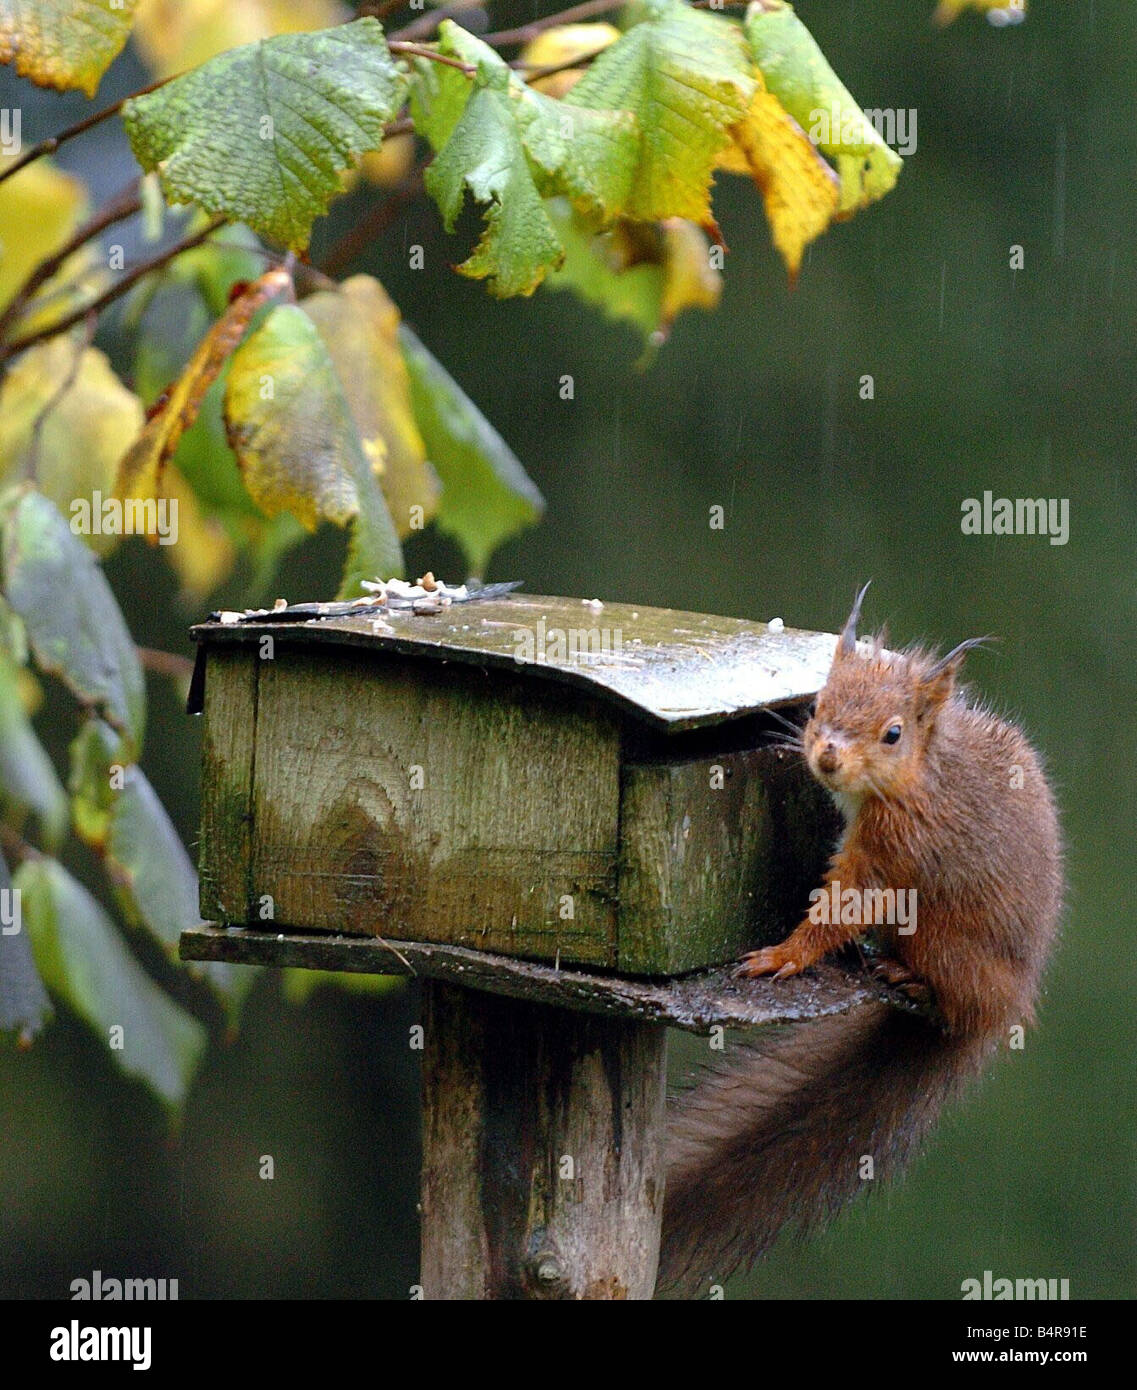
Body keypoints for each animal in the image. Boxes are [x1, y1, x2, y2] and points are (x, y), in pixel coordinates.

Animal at [658, 583, 1064, 1291]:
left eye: (893, 733)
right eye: (818, 704)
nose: (826, 756)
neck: (918, 776)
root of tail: (1006, 1011)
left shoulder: (895, 850)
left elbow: (845, 906)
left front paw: (783, 956)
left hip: (945, 943)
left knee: (952, 996)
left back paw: (908, 977)